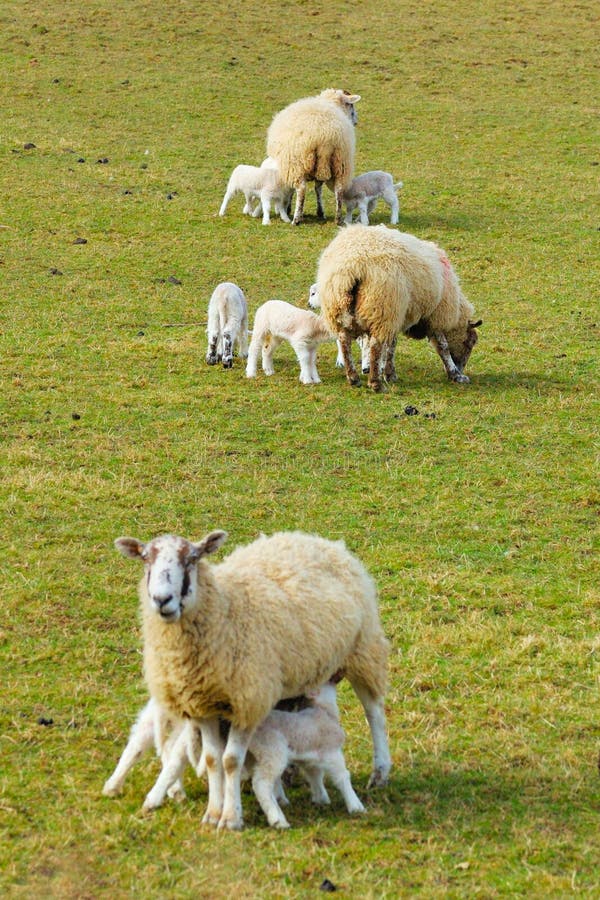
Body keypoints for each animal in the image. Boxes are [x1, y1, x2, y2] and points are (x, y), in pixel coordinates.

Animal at [114, 529, 391, 830]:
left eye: (192, 558)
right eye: (144, 558)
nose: (161, 599)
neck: (225, 610)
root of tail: (312, 538)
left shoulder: (248, 703)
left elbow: (231, 760)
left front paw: (231, 818)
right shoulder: (202, 706)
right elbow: (212, 759)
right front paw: (213, 813)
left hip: (363, 649)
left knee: (374, 712)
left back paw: (380, 772)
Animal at [266, 88, 361, 225]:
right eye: (351, 105)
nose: (356, 121)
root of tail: (325, 135)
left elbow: (291, 190)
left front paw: (288, 208)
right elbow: (318, 188)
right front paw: (320, 212)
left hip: (296, 163)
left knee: (301, 189)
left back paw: (296, 219)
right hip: (340, 161)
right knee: (339, 189)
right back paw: (337, 218)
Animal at [316, 224, 482, 391]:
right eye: (471, 342)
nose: (461, 368)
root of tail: (353, 266)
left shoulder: (399, 314)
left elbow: (391, 345)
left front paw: (389, 374)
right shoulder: (435, 315)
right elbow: (443, 347)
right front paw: (456, 375)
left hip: (339, 307)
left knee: (344, 341)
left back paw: (353, 378)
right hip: (382, 307)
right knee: (375, 345)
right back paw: (375, 383)